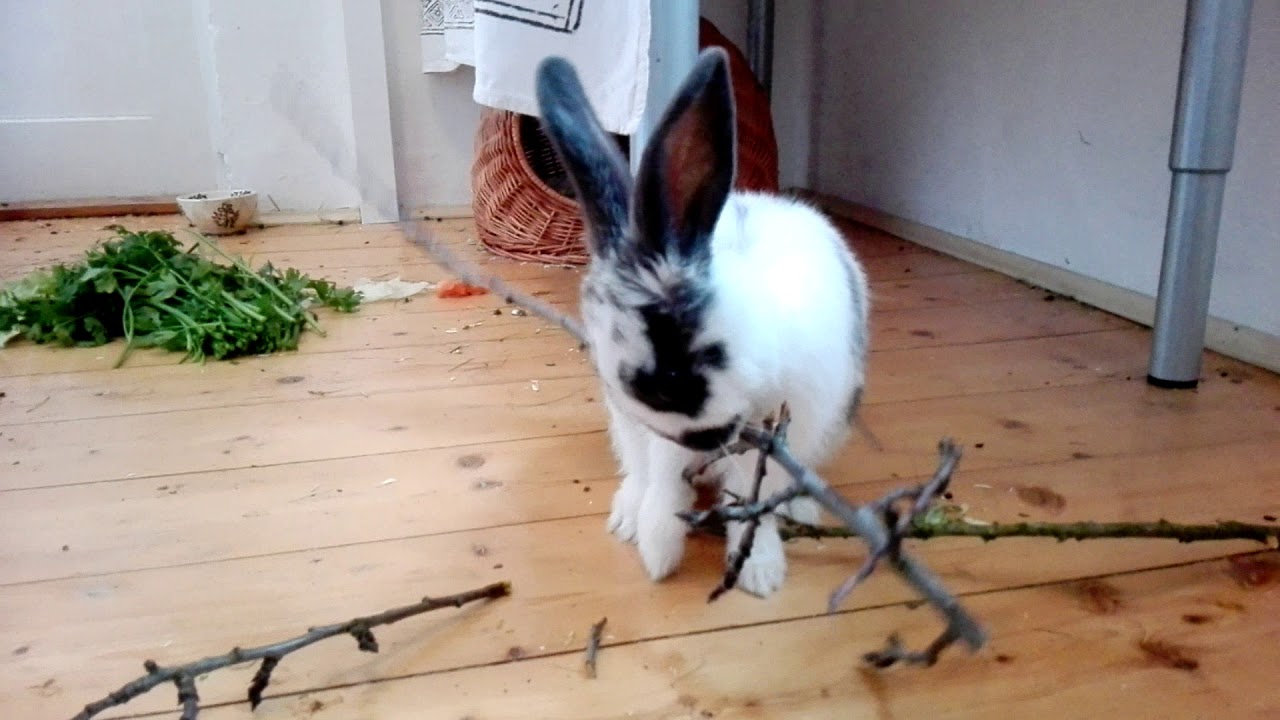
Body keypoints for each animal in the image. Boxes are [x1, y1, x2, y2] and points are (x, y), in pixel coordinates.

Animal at [534, 47, 870, 597]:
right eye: (644, 386)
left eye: (673, 376)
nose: (702, 444)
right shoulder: (650, 431)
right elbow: (664, 483)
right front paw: (658, 551)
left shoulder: (785, 429)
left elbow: (754, 501)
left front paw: (760, 571)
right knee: (639, 474)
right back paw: (626, 517)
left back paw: (803, 510)